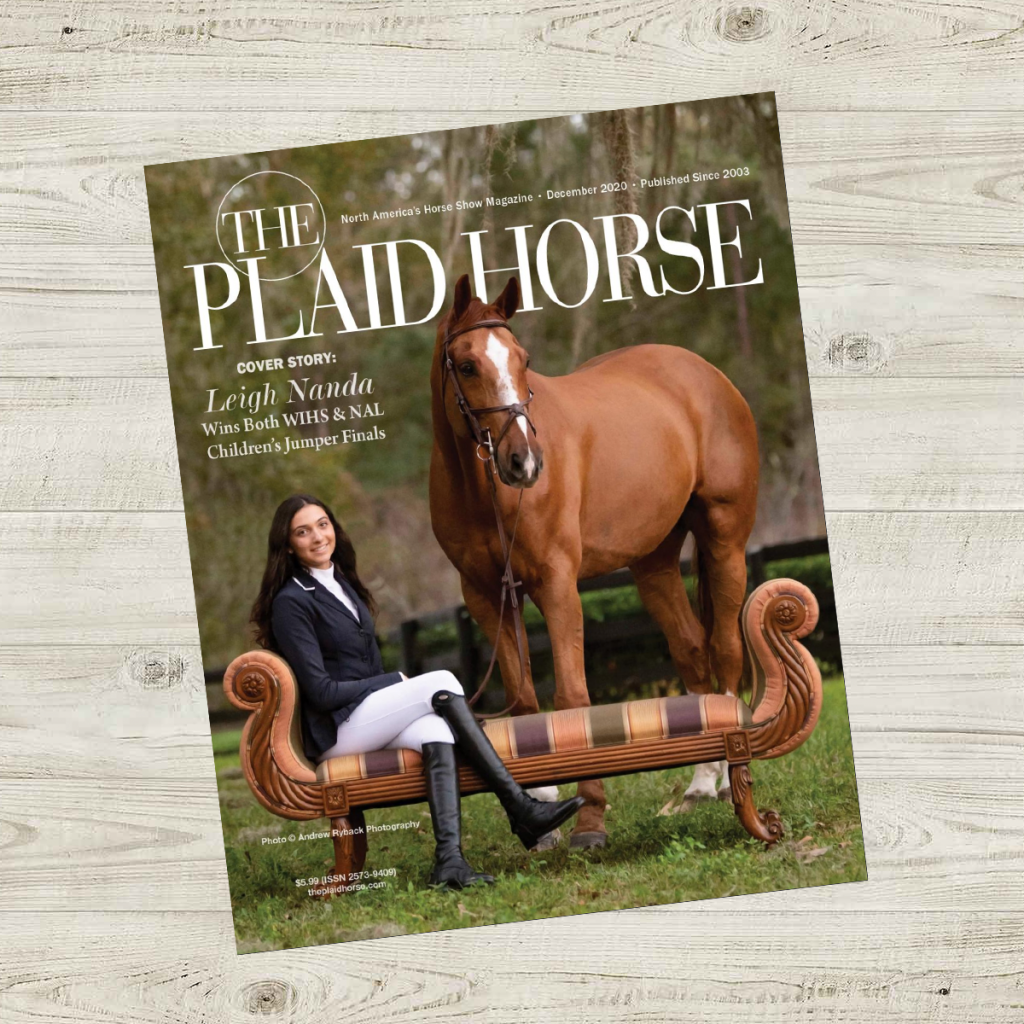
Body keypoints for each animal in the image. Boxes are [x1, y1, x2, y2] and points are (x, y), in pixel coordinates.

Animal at [428, 274, 759, 848]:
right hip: (653, 564)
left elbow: (572, 698)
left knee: (724, 648)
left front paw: (591, 818)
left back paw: (718, 772)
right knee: (692, 651)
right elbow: (524, 701)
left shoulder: (556, 583)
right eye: (467, 365)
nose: (524, 462)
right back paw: (702, 783)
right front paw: (541, 810)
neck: (483, 491)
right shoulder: (486, 594)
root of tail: (705, 373)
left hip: (725, 542)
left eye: (523, 358)